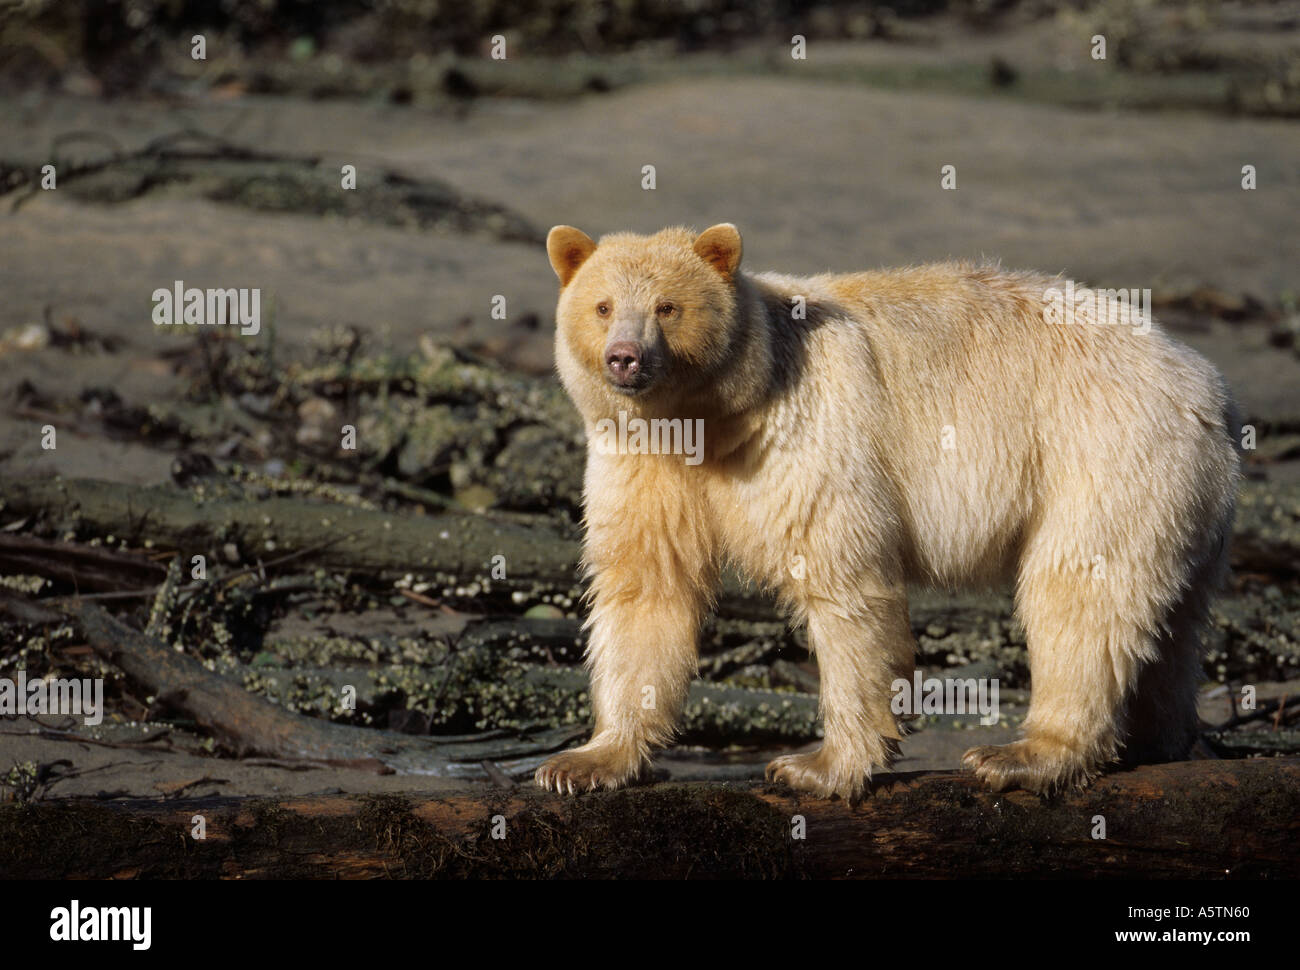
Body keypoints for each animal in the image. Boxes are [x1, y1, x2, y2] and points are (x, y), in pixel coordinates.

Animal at [534, 223, 1240, 800]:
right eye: (603, 306)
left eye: (667, 307)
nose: (625, 357)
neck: (707, 420)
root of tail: (1207, 386)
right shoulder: (646, 466)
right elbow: (644, 590)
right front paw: (584, 762)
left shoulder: (806, 434)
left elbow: (844, 584)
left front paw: (817, 766)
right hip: (1179, 502)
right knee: (1170, 626)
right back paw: (1161, 738)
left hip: (1103, 452)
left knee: (1079, 592)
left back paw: (1025, 754)